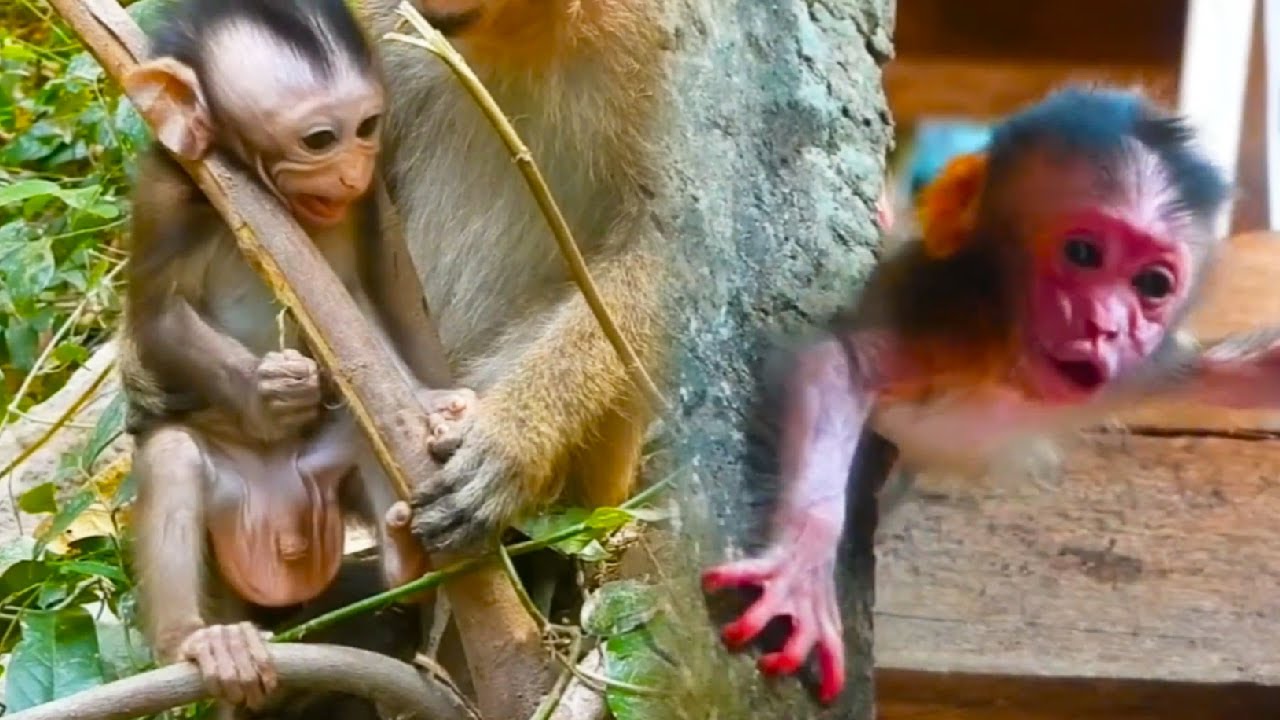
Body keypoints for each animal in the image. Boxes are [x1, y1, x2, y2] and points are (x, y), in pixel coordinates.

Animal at [116, 0, 472, 717]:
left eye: (366, 128)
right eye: (318, 139)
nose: (350, 172)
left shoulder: (372, 201)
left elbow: (371, 308)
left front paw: (434, 403)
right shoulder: (165, 190)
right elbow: (157, 316)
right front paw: (267, 395)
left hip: (325, 480)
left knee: (366, 418)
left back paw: (405, 558)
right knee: (172, 456)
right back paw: (198, 641)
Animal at [700, 86, 1280, 706]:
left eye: (1152, 284)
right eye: (1083, 254)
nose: (1106, 327)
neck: (1013, 367)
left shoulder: (1148, 369)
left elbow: (1243, 373)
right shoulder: (946, 316)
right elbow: (839, 367)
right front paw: (806, 569)